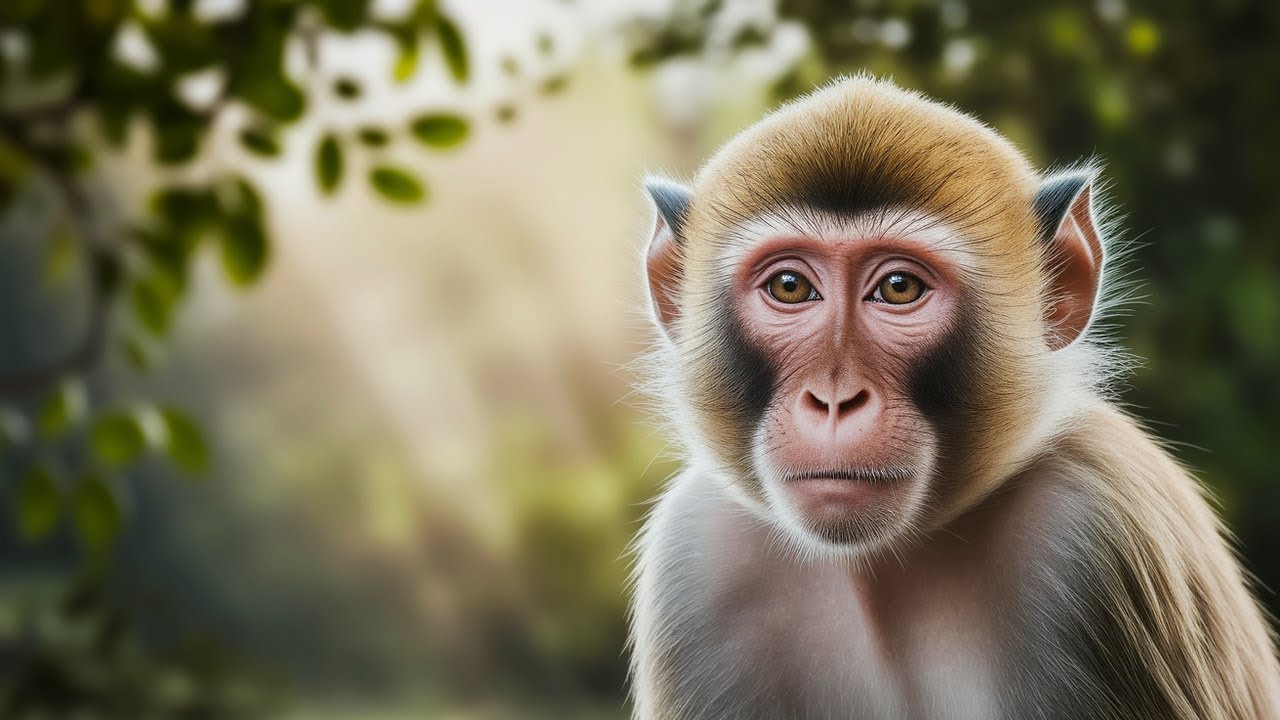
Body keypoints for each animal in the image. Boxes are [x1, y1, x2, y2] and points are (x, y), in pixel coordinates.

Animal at [628, 76, 1280, 720]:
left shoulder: (1099, 530)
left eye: (899, 287)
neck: (882, 567)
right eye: (790, 287)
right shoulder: (696, 557)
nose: (835, 399)